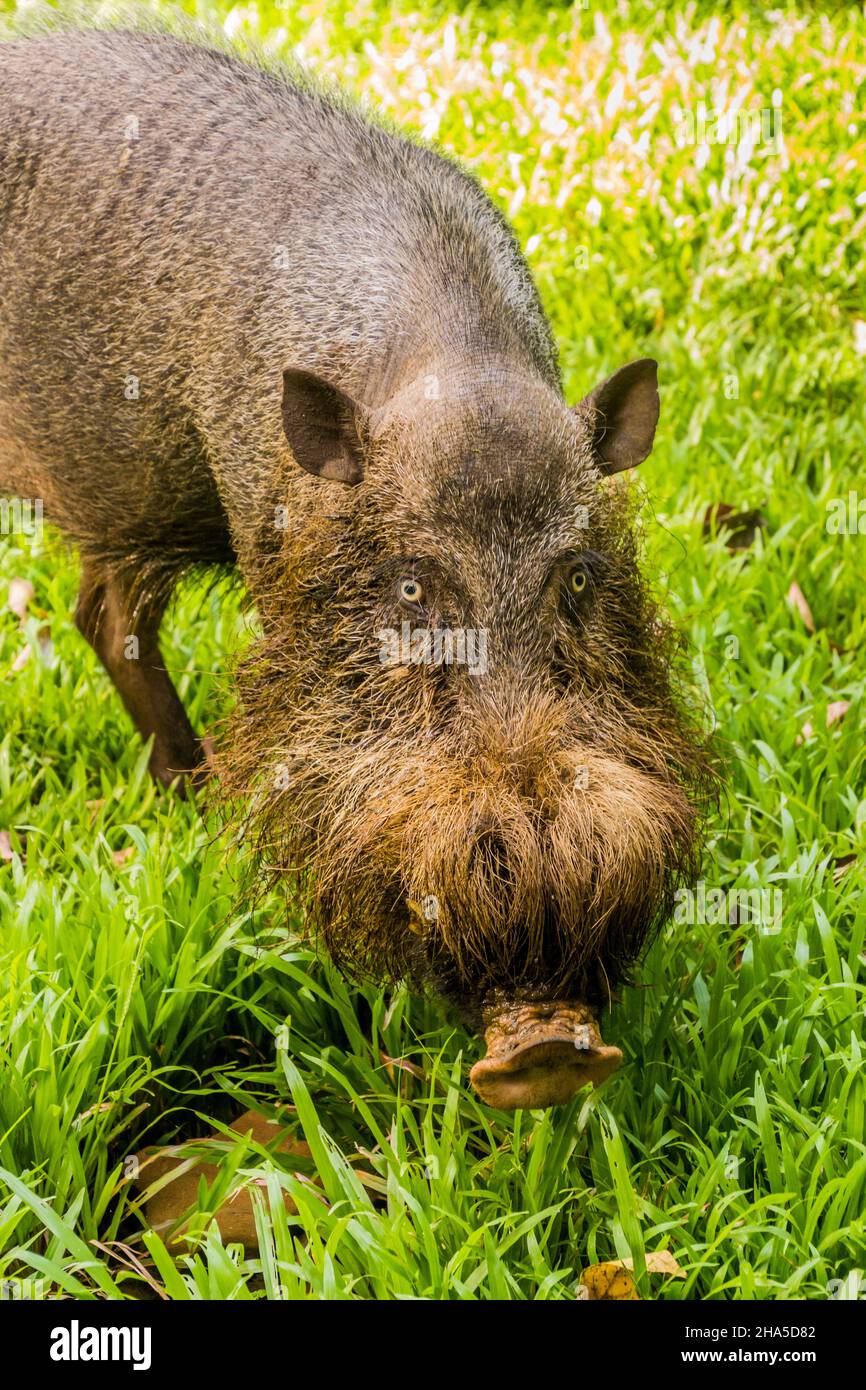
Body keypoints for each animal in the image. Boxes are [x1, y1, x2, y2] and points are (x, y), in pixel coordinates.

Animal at [0, 28, 715, 1108]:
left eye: (580, 578)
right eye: (409, 587)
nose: (546, 1051)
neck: (454, 363)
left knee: (101, 614)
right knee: (109, 617)